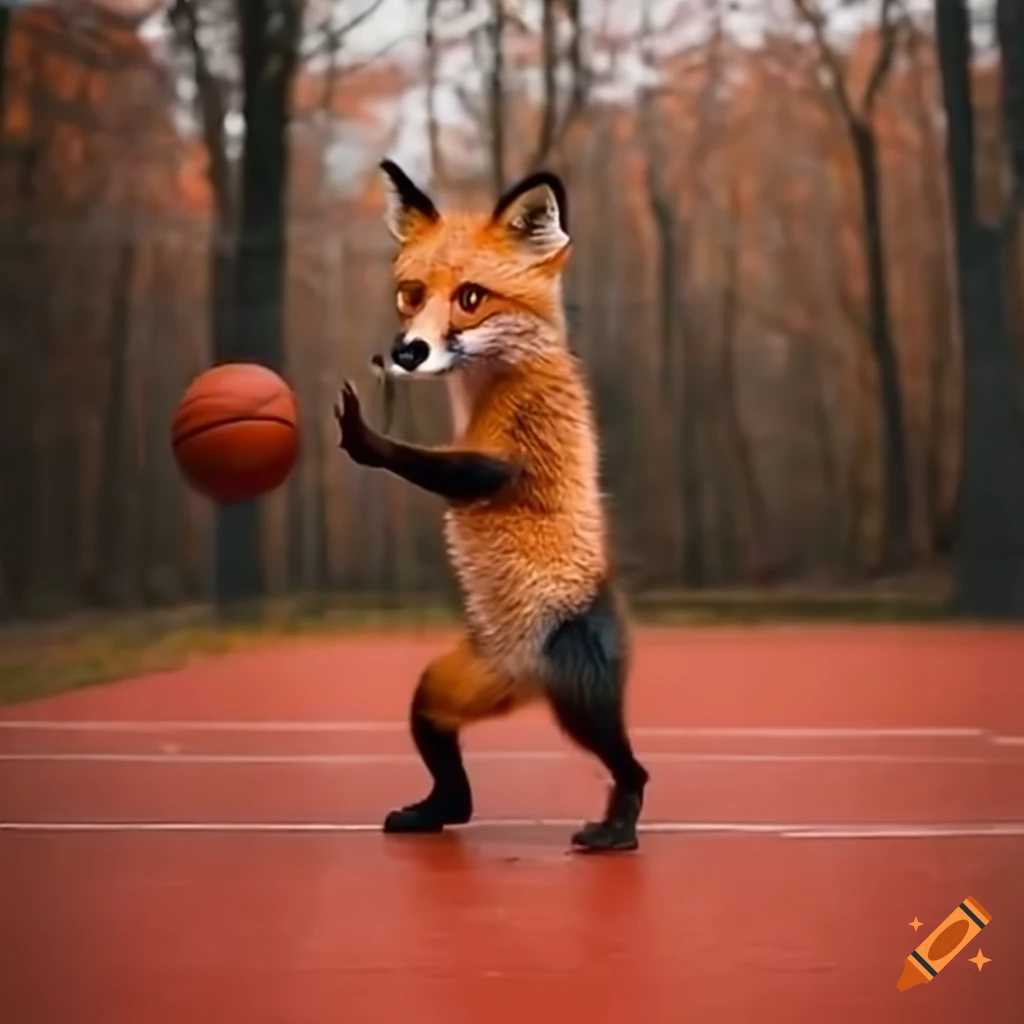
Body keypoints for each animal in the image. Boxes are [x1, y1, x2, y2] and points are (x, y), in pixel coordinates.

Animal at [333, 159, 649, 852]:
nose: (406, 352)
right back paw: (436, 811)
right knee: (446, 759)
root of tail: (523, 681)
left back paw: (618, 829)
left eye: (471, 298)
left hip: (579, 706)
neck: (493, 380)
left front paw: (368, 441)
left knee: (631, 767)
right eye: (411, 293)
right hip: (450, 687)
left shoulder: (515, 447)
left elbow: (450, 467)